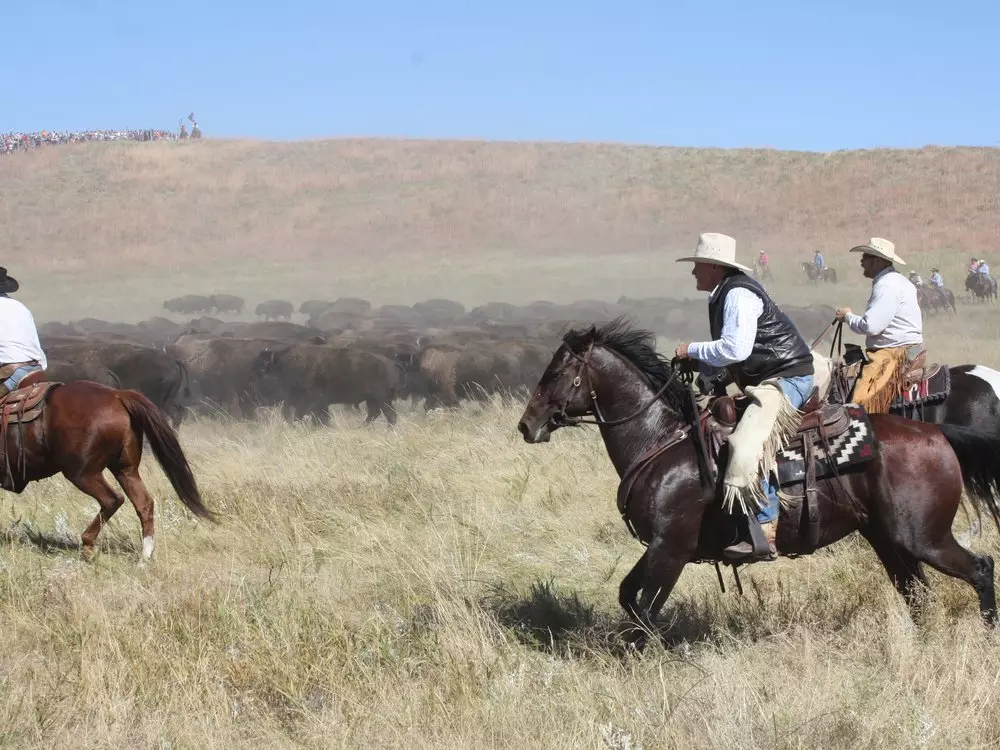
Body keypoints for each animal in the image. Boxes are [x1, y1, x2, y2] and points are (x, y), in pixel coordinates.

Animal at [0, 382, 216, 564]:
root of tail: (117, 395)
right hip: (125, 470)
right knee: (143, 503)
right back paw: (144, 557)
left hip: (82, 473)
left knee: (112, 499)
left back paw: (88, 546)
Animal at [516, 320, 1000, 644]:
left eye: (555, 372)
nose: (526, 425)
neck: (660, 440)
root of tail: (937, 435)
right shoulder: (658, 547)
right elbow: (629, 599)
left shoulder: (670, 550)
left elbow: (645, 613)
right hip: (886, 537)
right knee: (916, 592)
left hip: (924, 537)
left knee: (979, 568)